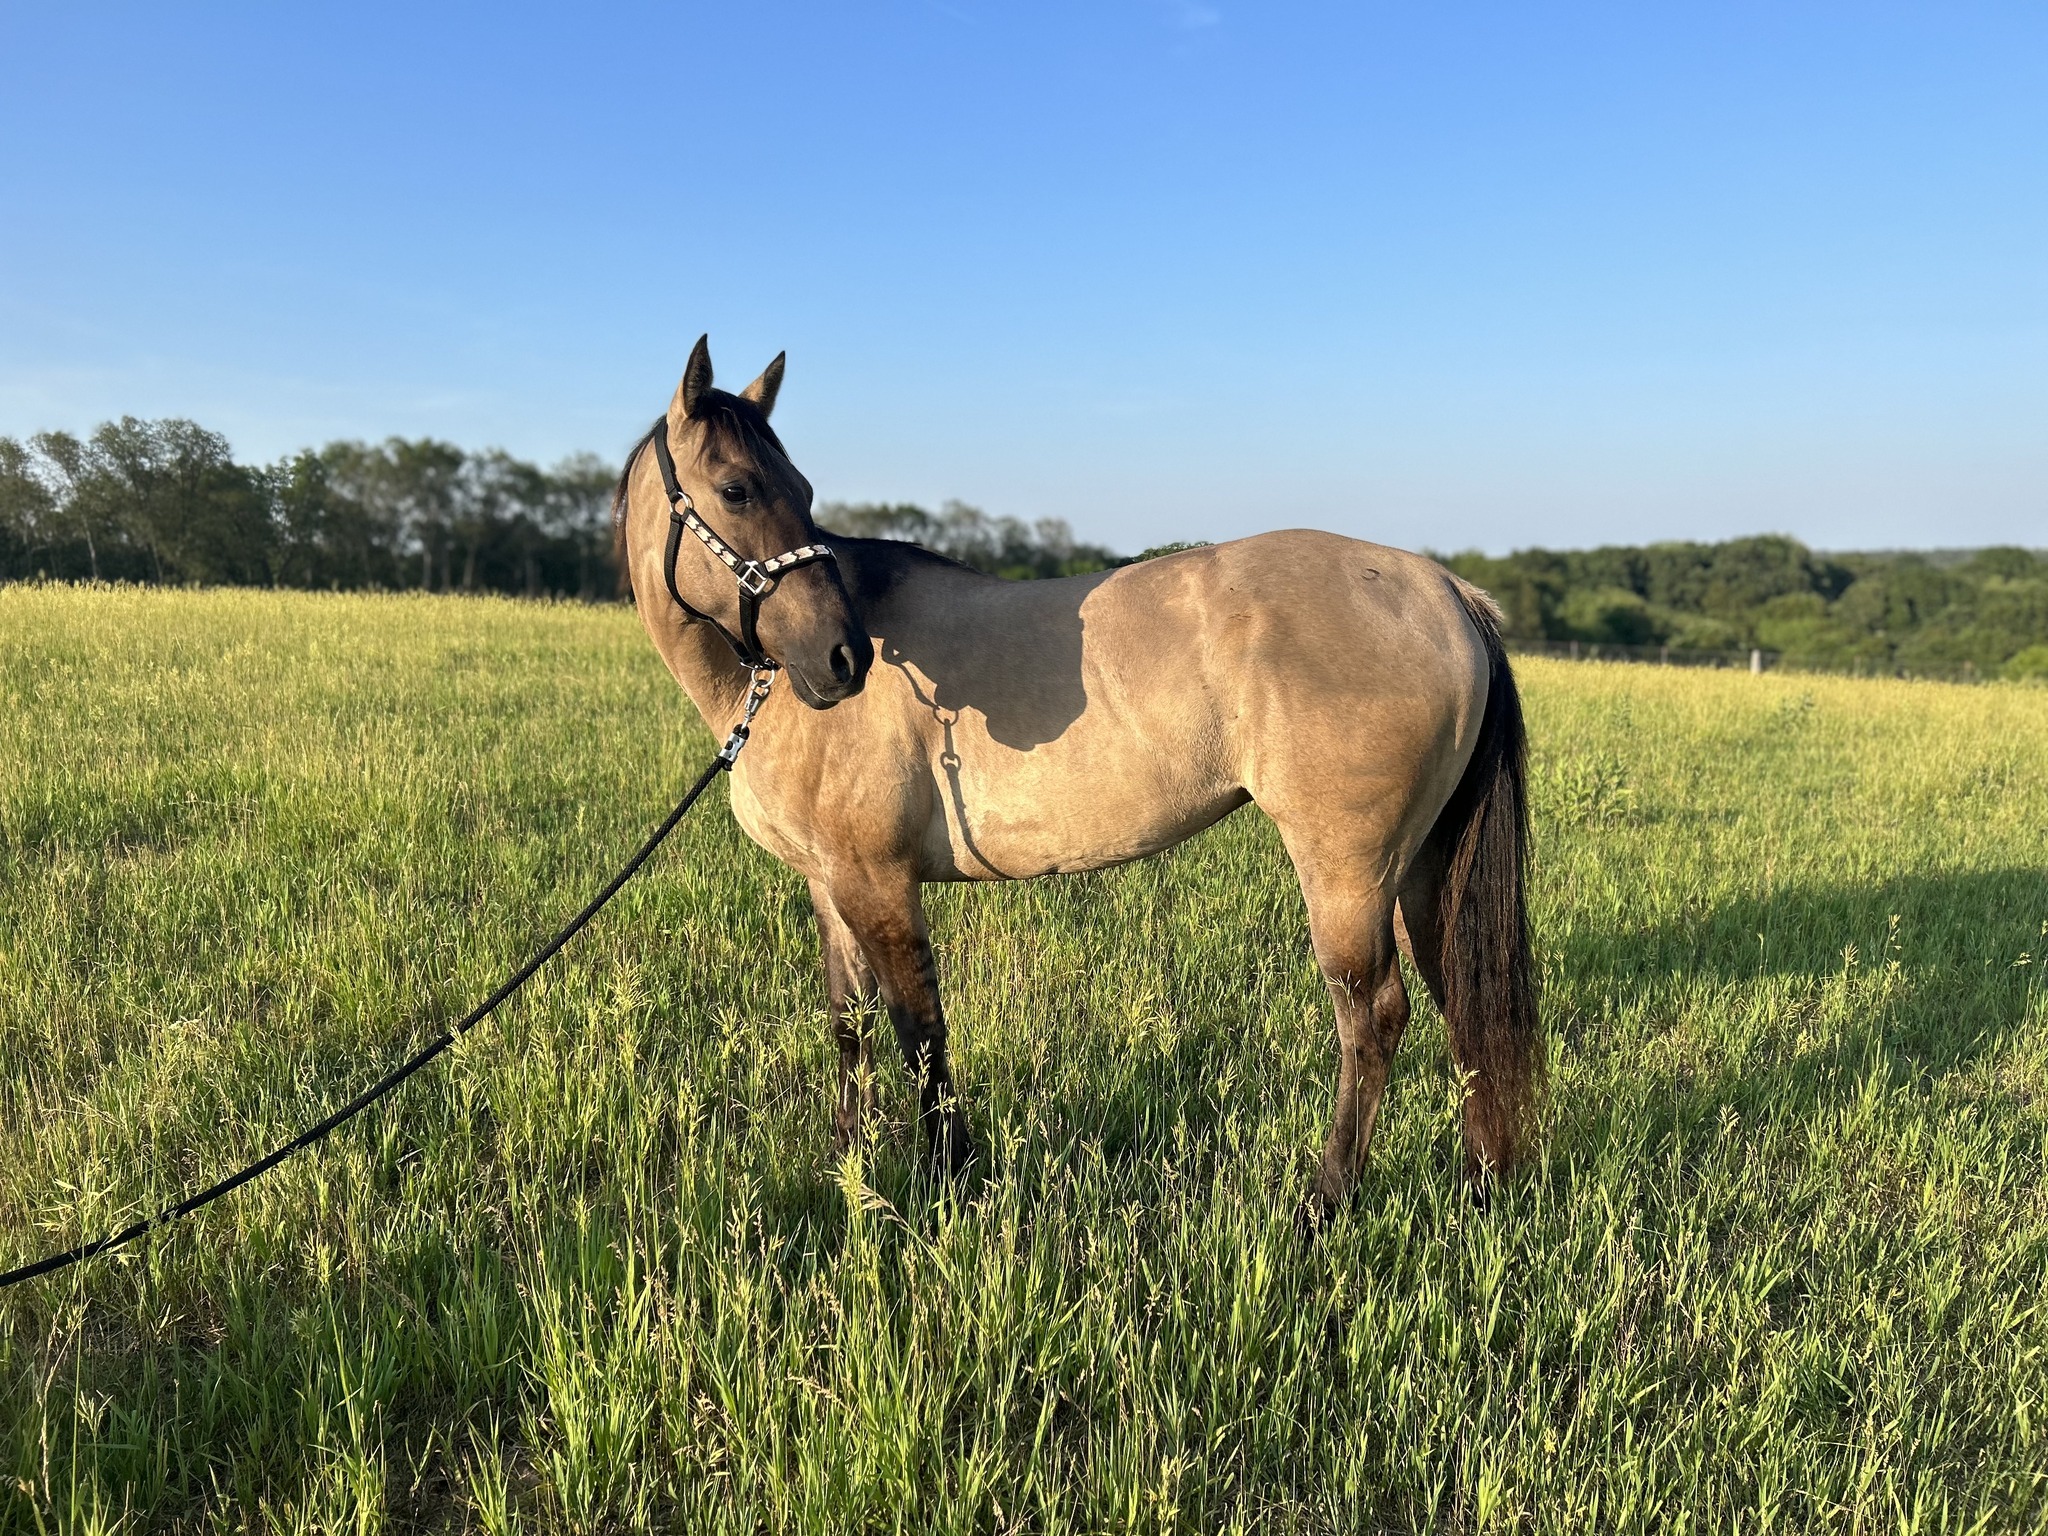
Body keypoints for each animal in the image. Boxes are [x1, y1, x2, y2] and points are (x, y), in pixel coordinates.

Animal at [612, 337, 1541, 1216]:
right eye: (739, 489)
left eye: (796, 490)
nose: (843, 659)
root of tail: (1442, 590)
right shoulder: (828, 882)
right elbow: (851, 1024)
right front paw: (849, 1167)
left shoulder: (876, 882)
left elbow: (920, 1031)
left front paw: (950, 1183)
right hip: (1420, 872)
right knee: (1460, 1001)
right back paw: (1479, 1190)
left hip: (1348, 873)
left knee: (1373, 1016)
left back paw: (1323, 1203)